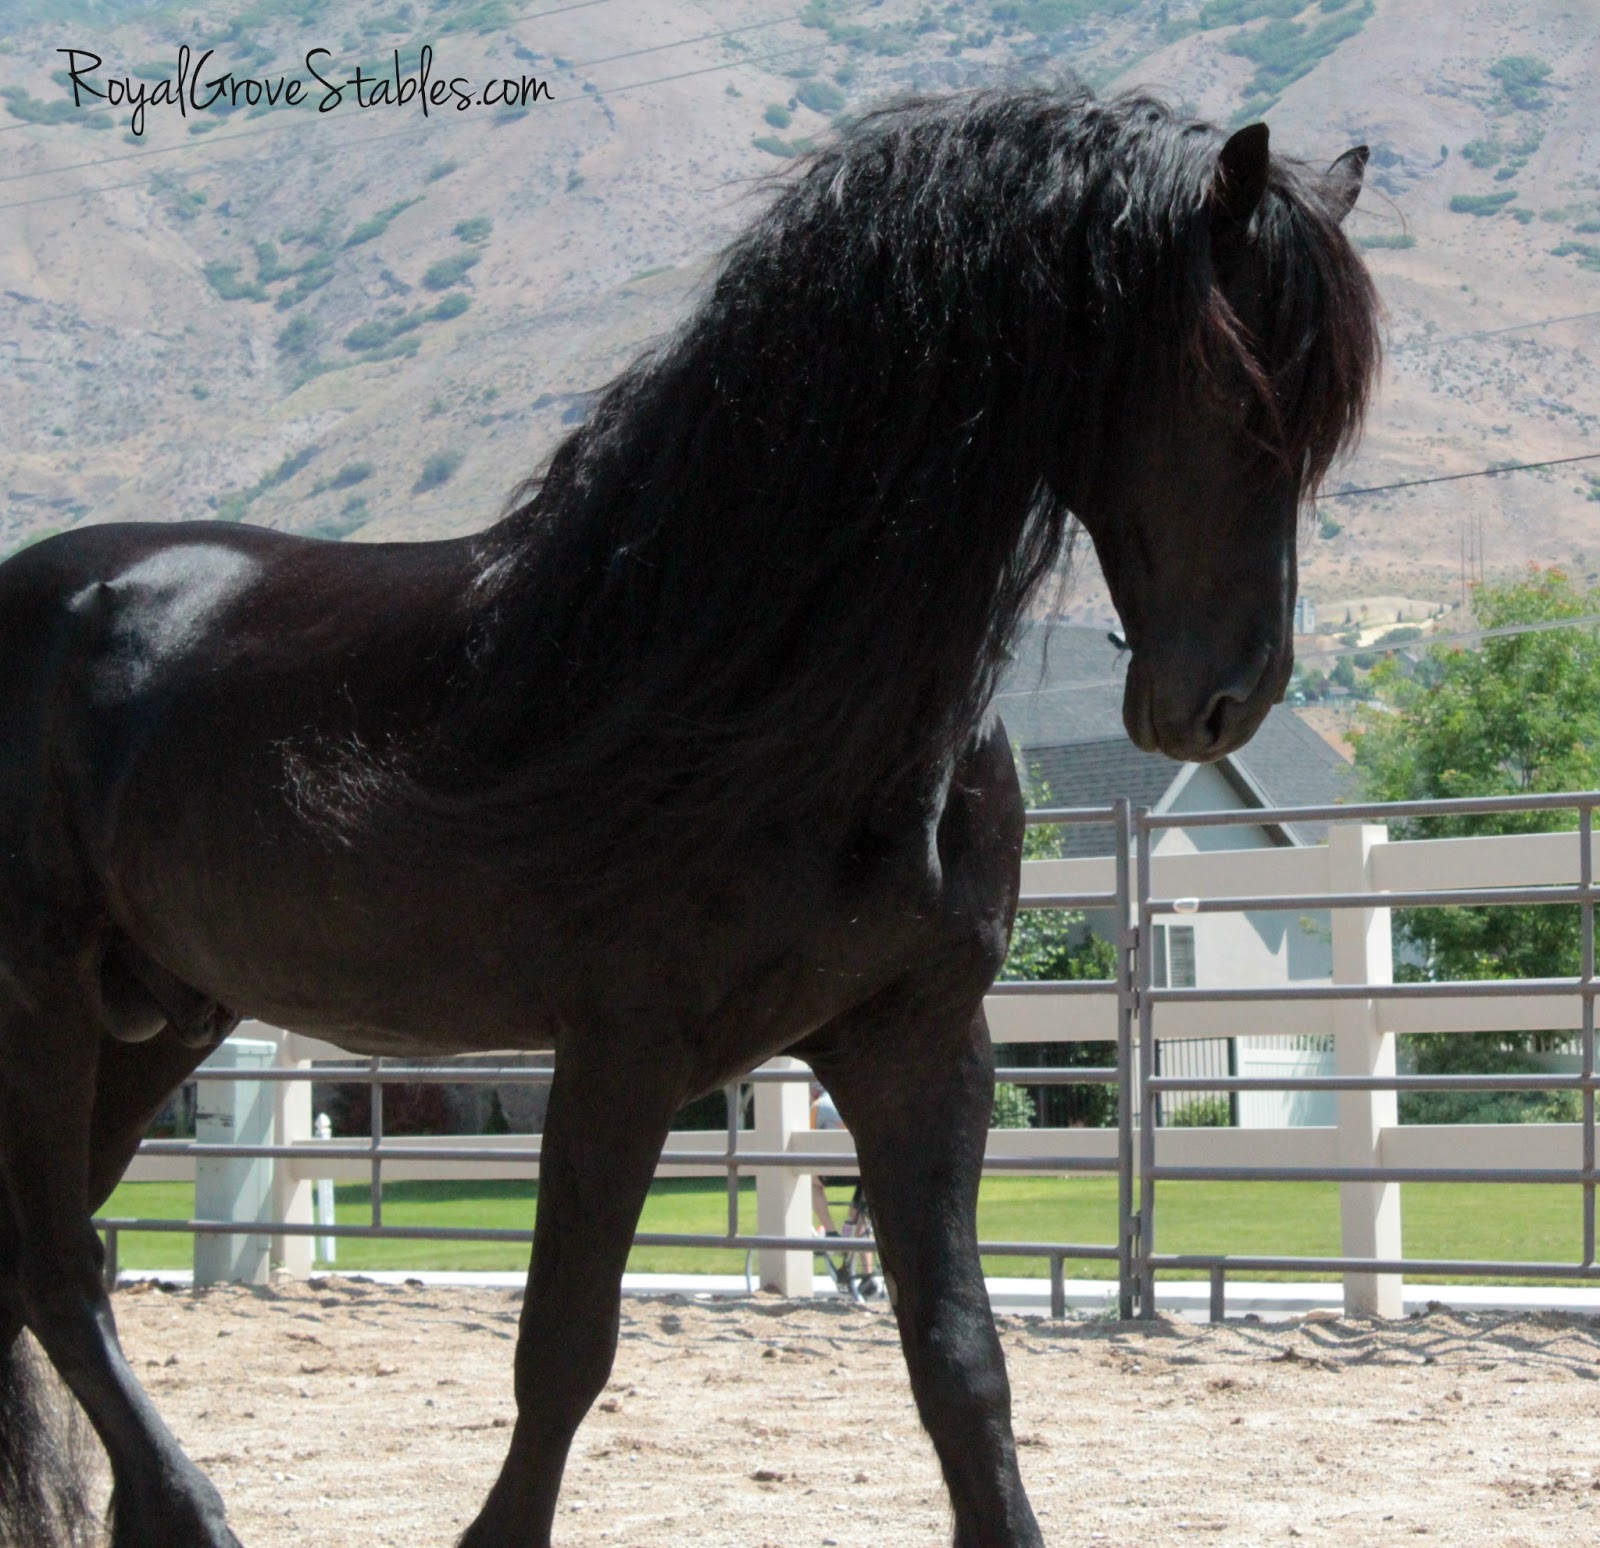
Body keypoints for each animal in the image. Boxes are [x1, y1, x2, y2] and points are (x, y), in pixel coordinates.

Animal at [0, 85, 1377, 1547]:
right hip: (42, 1006)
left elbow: (960, 1360)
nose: (1225, 698)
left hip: (155, 1023)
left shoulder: (917, 1045)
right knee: (60, 1268)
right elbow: (563, 1348)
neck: (759, 680)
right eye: (1229, 383)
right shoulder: (623, 1052)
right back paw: (187, 1510)